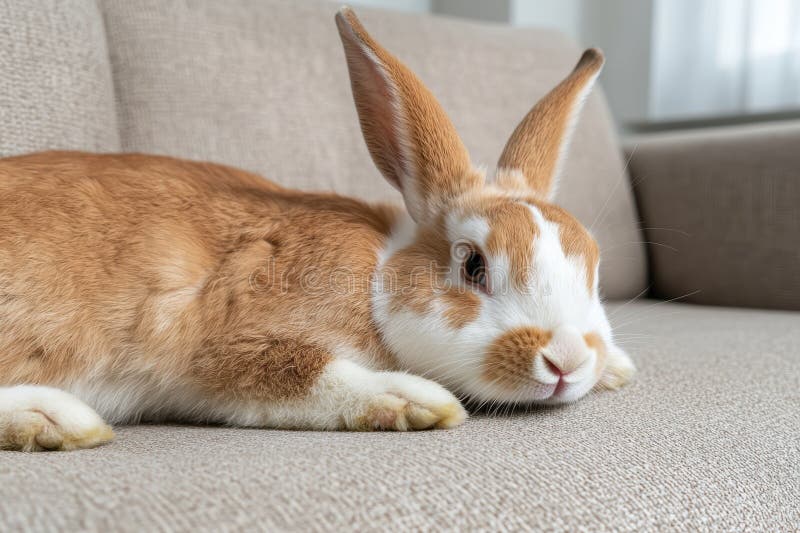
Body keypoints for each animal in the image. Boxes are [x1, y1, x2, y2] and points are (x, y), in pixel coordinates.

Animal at [0, 7, 634, 451]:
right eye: (473, 264)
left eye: (594, 265)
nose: (567, 360)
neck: (377, 273)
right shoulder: (227, 345)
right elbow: (301, 373)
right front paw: (412, 399)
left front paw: (616, 367)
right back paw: (55, 419)